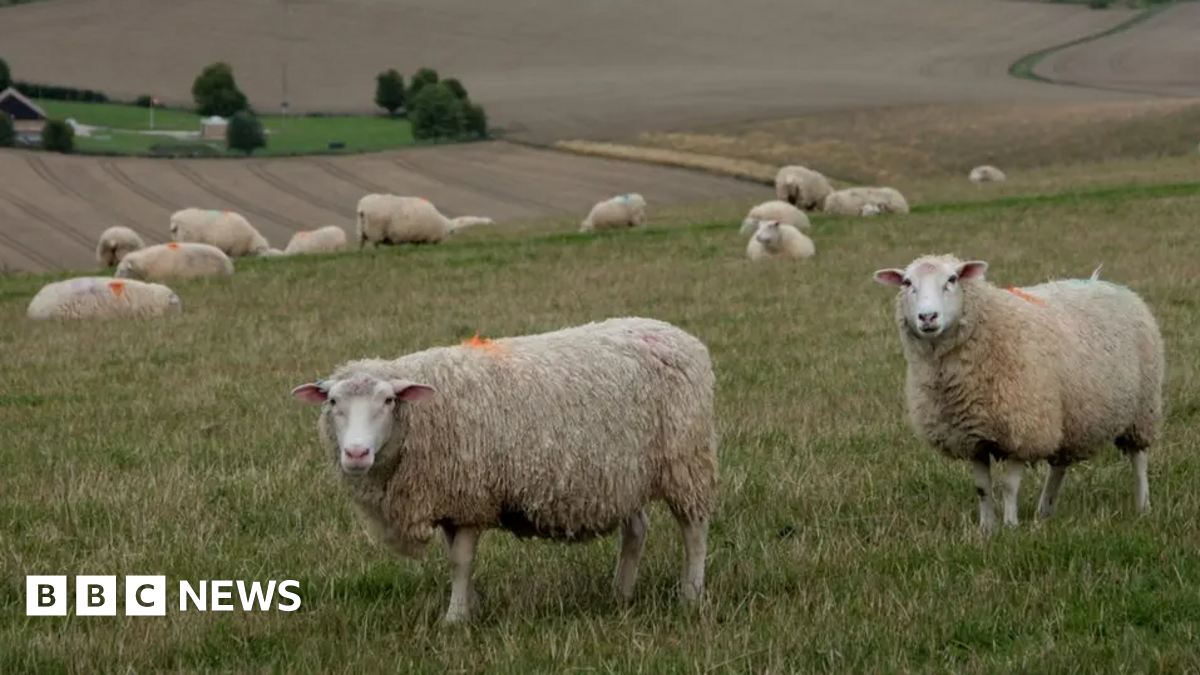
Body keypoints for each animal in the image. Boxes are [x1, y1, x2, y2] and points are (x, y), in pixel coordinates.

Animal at [290, 316, 718, 624]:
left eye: (389, 401)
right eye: (332, 402)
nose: (356, 453)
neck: (423, 418)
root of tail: (676, 334)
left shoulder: (470, 496)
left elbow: (460, 560)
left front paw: (455, 618)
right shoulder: (451, 499)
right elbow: (456, 559)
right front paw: (470, 605)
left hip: (686, 460)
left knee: (694, 530)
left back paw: (691, 594)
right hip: (622, 473)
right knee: (636, 531)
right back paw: (620, 594)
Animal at [356, 194, 494, 249]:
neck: (445, 225)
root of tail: (363, 208)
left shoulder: (419, 237)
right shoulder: (428, 237)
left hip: (362, 230)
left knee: (361, 243)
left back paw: (360, 253)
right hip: (376, 230)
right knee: (375, 244)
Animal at [872, 254, 1164, 531]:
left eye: (952, 279)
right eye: (907, 283)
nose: (928, 317)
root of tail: (1104, 282)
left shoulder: (1022, 430)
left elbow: (1009, 486)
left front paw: (1010, 526)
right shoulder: (973, 436)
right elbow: (982, 488)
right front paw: (986, 528)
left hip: (1142, 409)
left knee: (1139, 459)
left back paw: (1143, 506)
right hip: (1067, 416)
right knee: (1059, 464)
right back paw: (1044, 510)